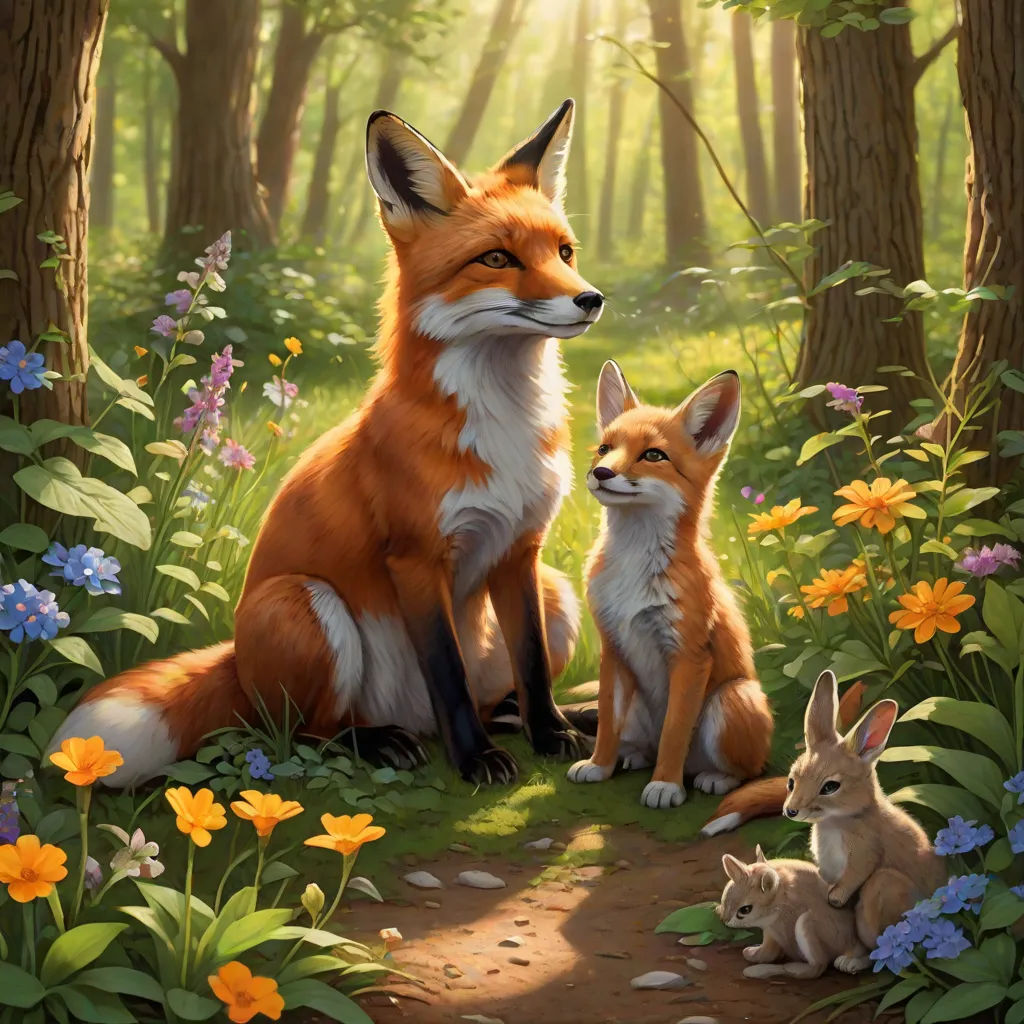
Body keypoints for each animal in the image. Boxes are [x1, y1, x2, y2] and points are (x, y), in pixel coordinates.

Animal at [51, 100, 603, 787]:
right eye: (498, 259)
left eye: (564, 251)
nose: (591, 299)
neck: (504, 427)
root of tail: (237, 663)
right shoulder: (415, 557)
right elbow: (446, 672)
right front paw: (475, 760)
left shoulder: (521, 550)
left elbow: (530, 663)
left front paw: (551, 732)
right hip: (306, 605)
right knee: (302, 732)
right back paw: (380, 742)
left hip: (559, 592)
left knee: (492, 699)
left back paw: (552, 718)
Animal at [565, 361, 775, 810]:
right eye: (605, 448)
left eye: (653, 455)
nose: (600, 473)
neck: (633, 570)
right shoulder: (613, 647)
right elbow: (606, 724)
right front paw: (599, 765)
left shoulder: (690, 654)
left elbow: (675, 732)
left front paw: (665, 785)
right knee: (639, 741)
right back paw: (631, 757)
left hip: (732, 699)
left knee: (750, 771)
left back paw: (711, 778)